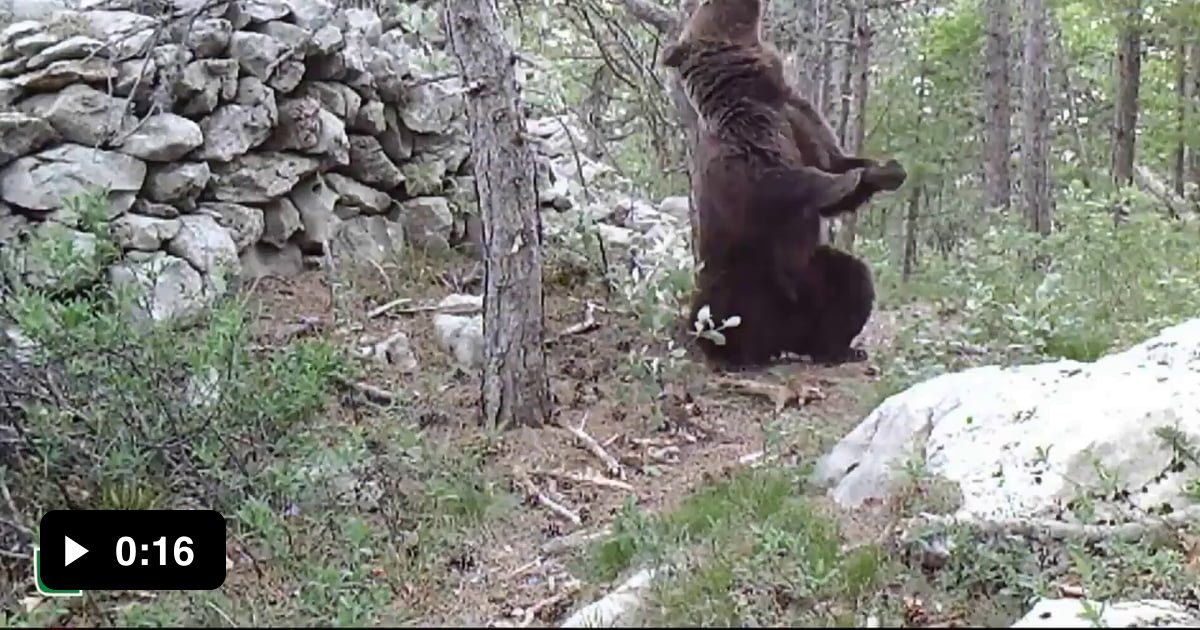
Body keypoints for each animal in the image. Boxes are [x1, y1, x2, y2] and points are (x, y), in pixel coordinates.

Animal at [661, 0, 906, 368]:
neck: (753, 89)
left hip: (811, 276)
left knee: (851, 279)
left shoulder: (797, 117)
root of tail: (779, 341)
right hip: (738, 273)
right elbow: (782, 184)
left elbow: (831, 161)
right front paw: (849, 179)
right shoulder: (745, 147)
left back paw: (838, 348)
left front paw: (886, 170)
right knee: (719, 306)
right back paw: (728, 350)